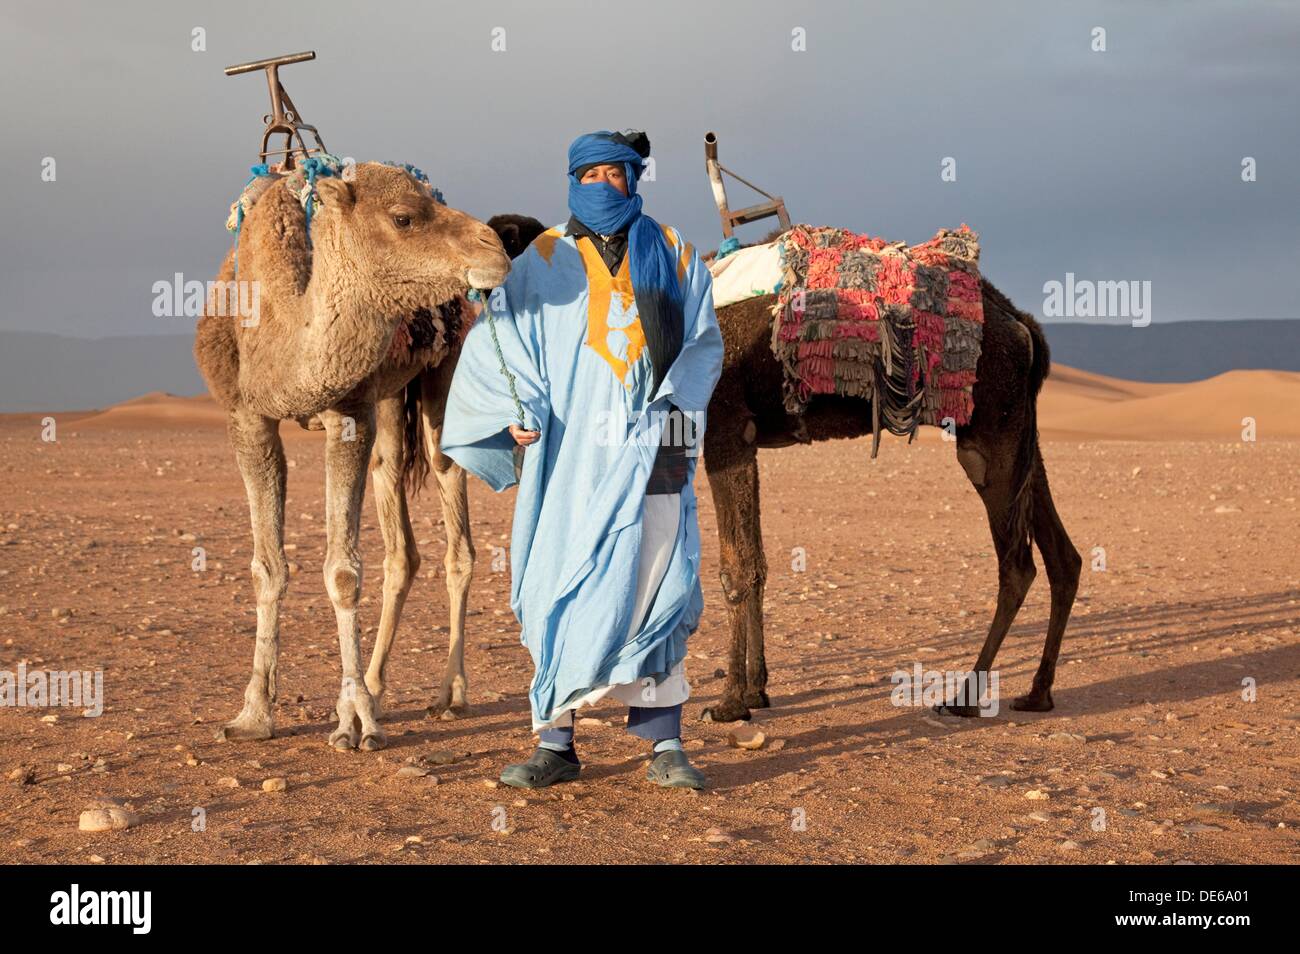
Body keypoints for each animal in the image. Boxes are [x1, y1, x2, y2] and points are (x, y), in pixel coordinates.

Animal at [195, 162, 510, 750]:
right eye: (403, 217)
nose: (494, 247)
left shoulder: (349, 411)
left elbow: (342, 573)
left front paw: (354, 719)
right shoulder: (247, 416)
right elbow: (266, 568)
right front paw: (254, 713)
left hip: (443, 369)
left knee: (454, 525)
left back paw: (448, 693)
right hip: (388, 403)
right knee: (401, 545)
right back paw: (378, 684)